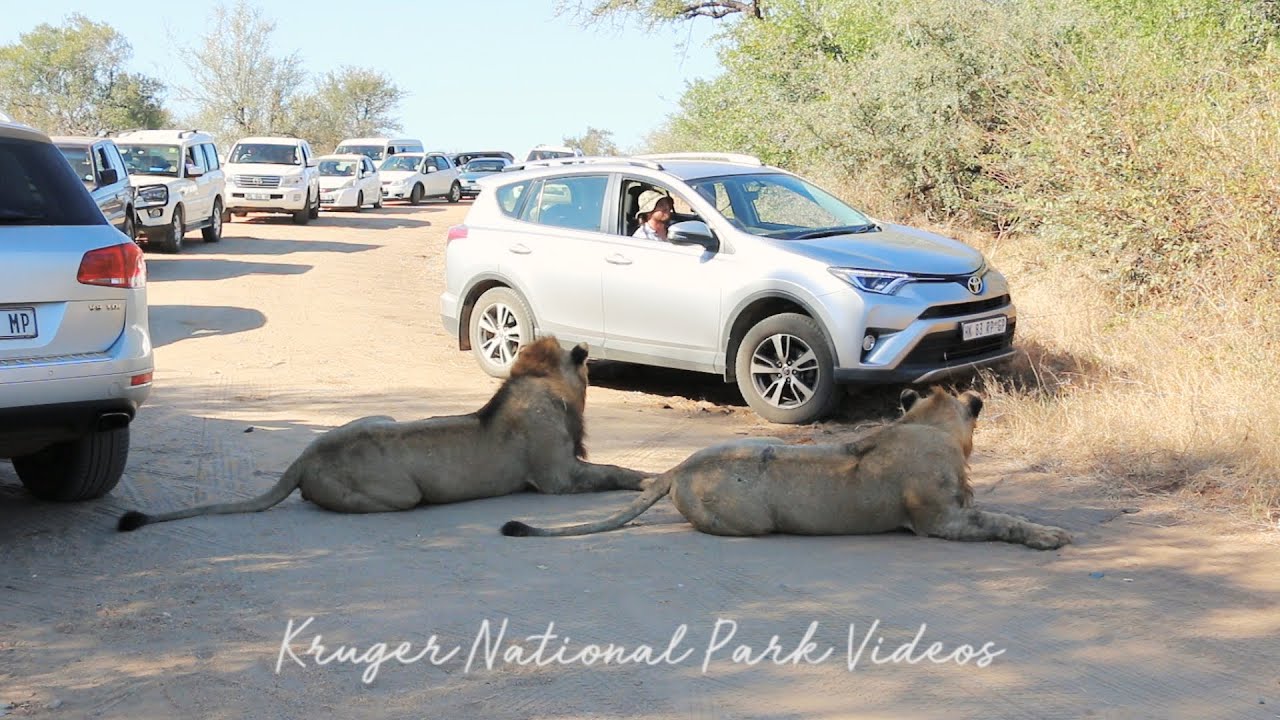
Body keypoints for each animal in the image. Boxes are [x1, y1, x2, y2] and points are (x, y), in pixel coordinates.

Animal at [118, 337, 649, 532]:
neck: (543, 384)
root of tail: (305, 456)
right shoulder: (557, 477)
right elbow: (610, 470)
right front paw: (646, 479)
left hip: (382, 415)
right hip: (400, 493)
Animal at [502, 387, 1071, 550]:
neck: (927, 424)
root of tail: (678, 468)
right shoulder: (940, 522)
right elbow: (1000, 521)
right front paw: (1048, 535)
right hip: (749, 520)